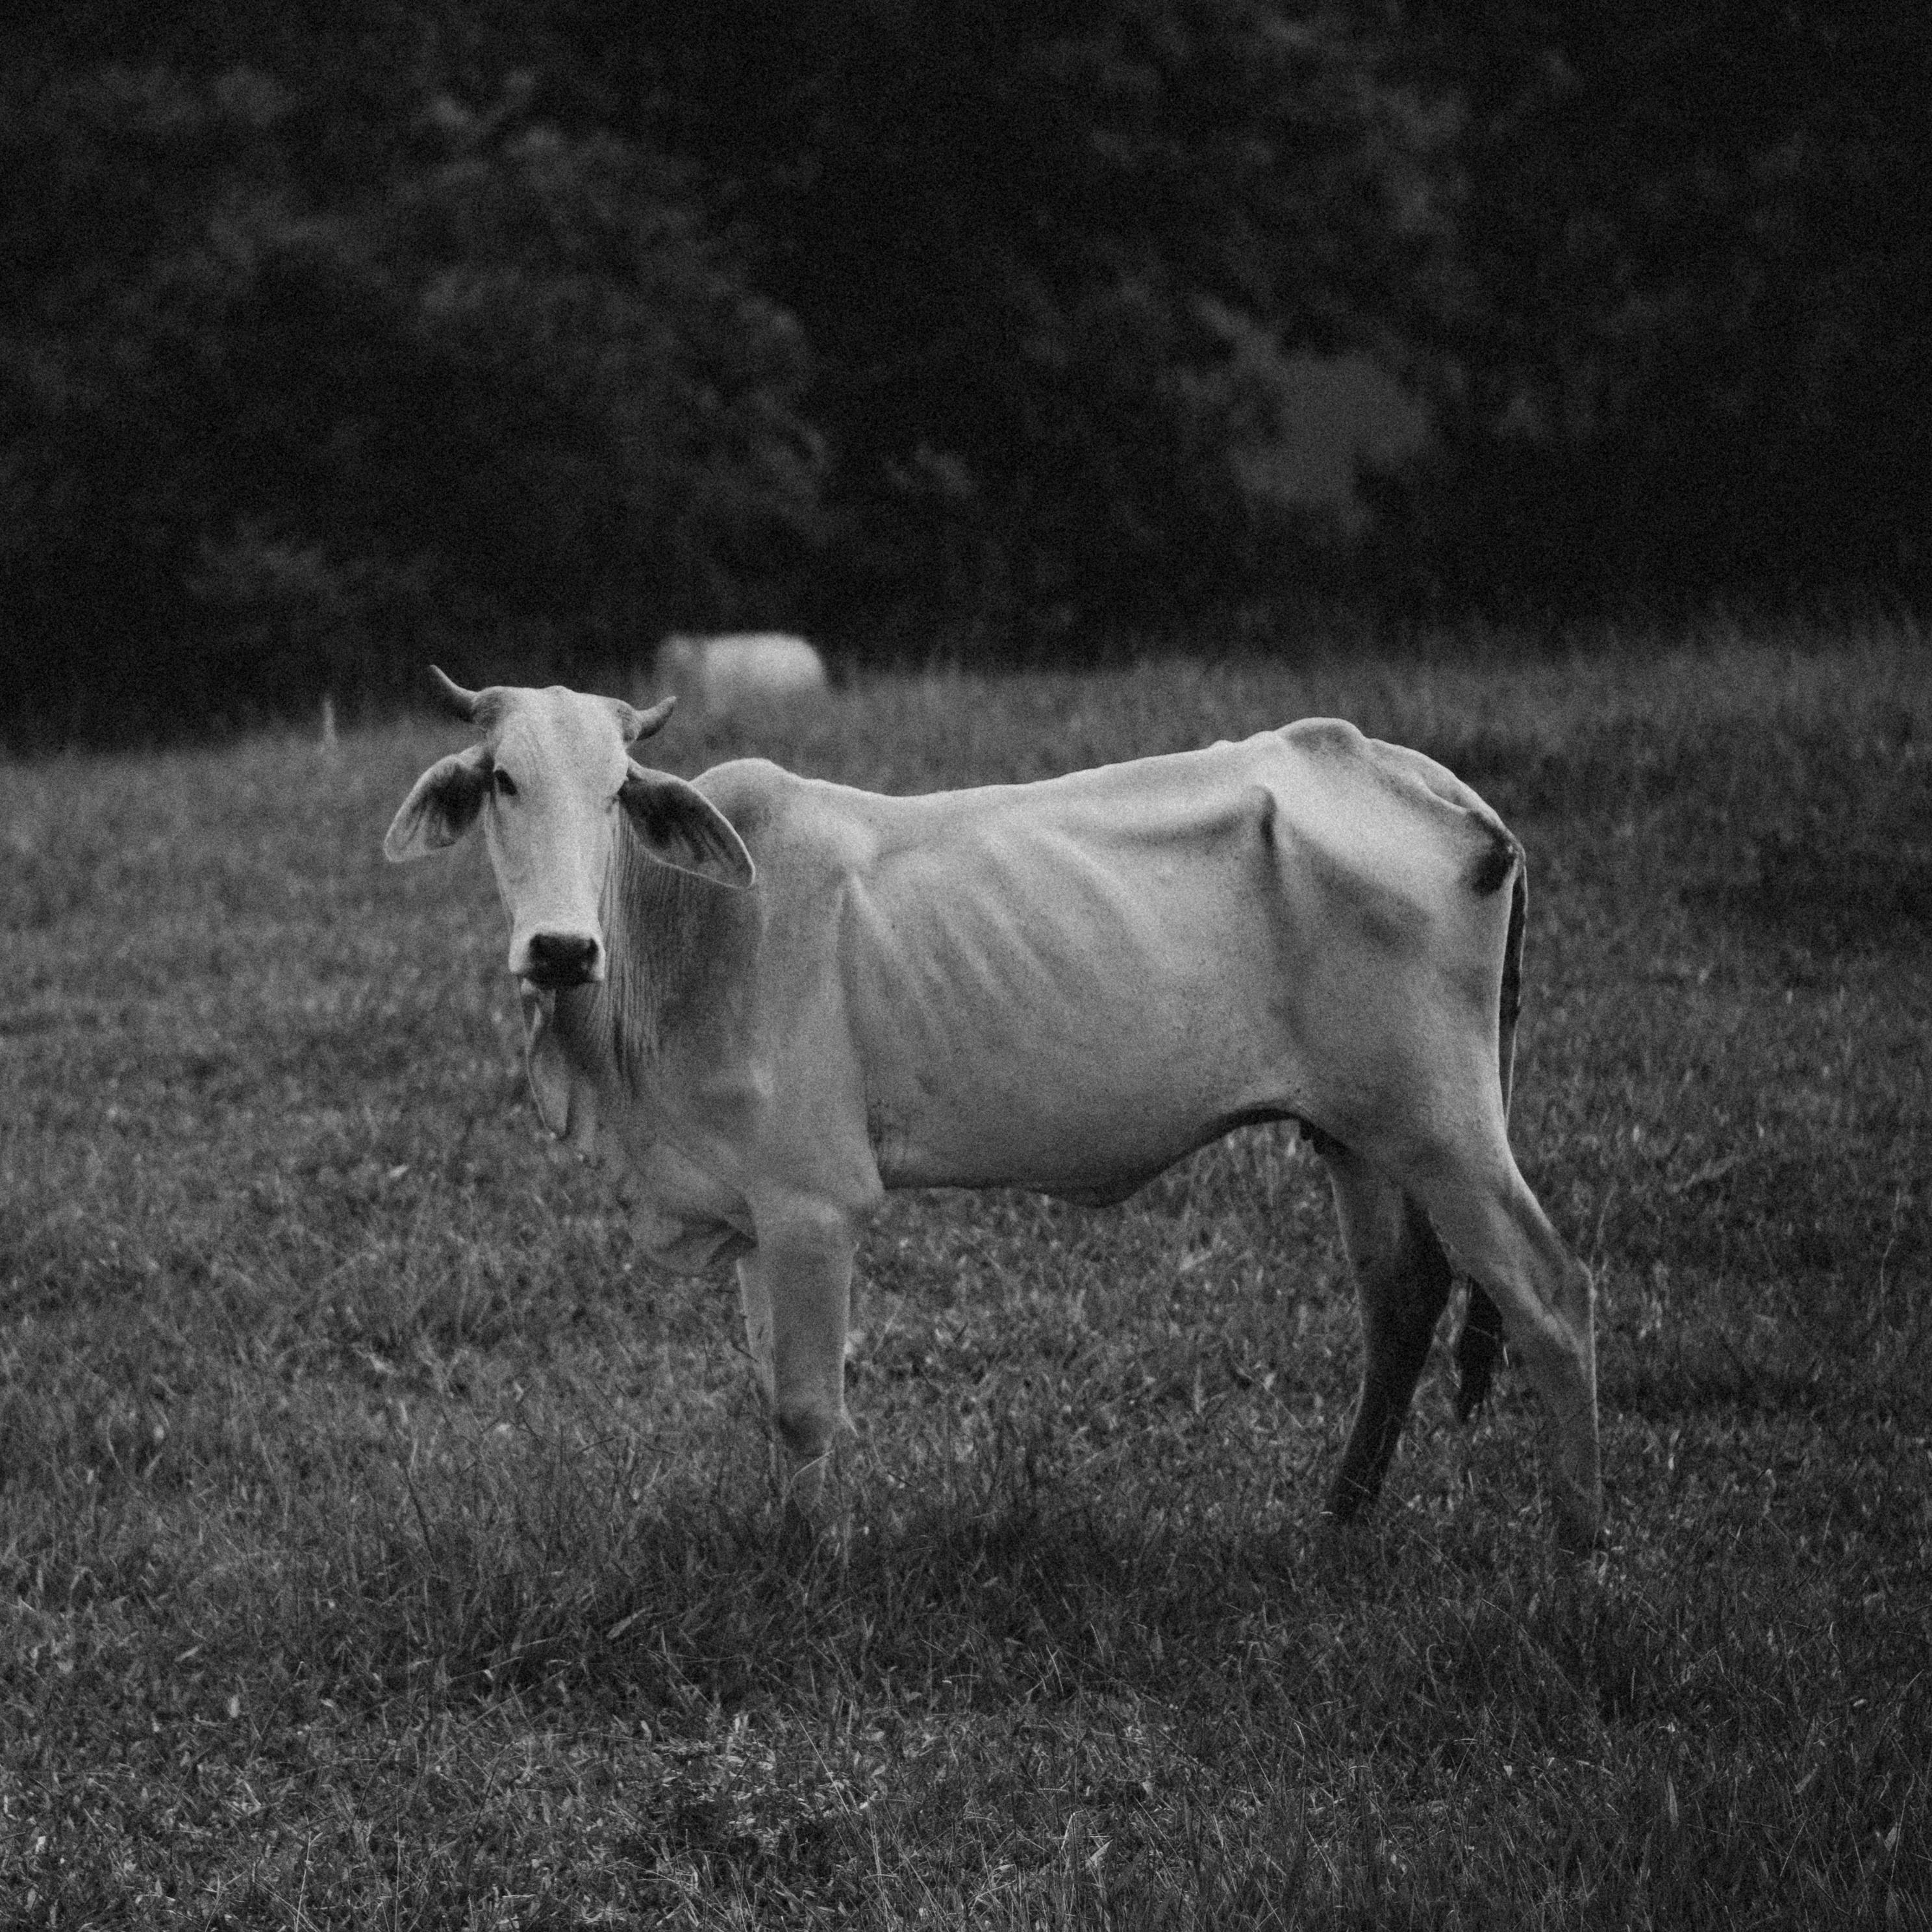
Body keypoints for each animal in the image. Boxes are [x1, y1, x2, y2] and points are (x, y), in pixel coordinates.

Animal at [385, 669, 1601, 1549]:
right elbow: (774, 1396)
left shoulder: (815, 1206)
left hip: (1444, 1127)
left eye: (614, 791)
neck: (679, 938)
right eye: (502, 781)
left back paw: (1576, 1558)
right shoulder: (754, 1213)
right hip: (1358, 1133)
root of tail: (1432, 782)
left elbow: (806, 1407)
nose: (560, 947)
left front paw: (814, 1574)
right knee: (1400, 1301)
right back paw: (1338, 1525)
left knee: (1548, 1294)